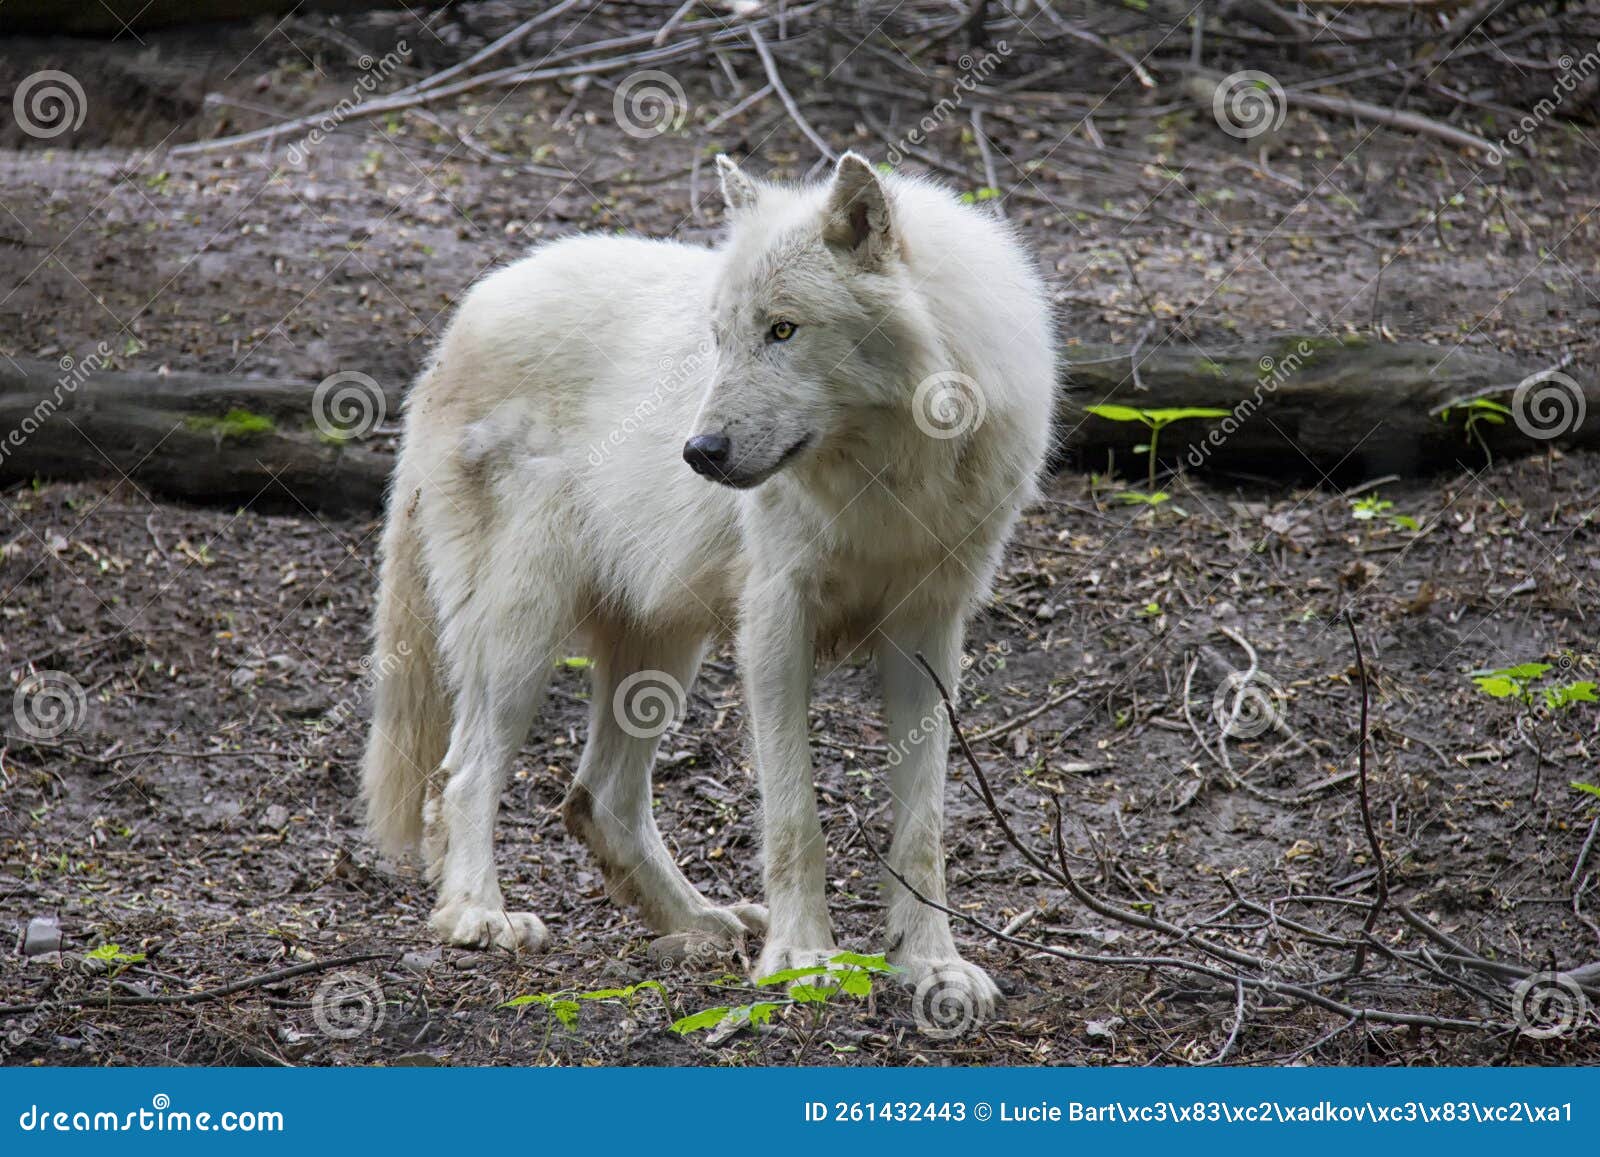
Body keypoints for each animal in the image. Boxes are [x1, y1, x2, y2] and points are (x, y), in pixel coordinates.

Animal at [360, 152, 1056, 1016]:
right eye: (719, 339)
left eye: (783, 329)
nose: (700, 451)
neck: (887, 475)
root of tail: (460, 322)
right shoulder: (775, 621)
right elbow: (795, 818)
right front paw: (803, 959)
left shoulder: (929, 627)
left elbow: (923, 826)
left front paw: (931, 963)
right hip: (524, 630)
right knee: (463, 773)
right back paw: (478, 915)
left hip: (662, 644)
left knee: (597, 798)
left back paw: (701, 922)